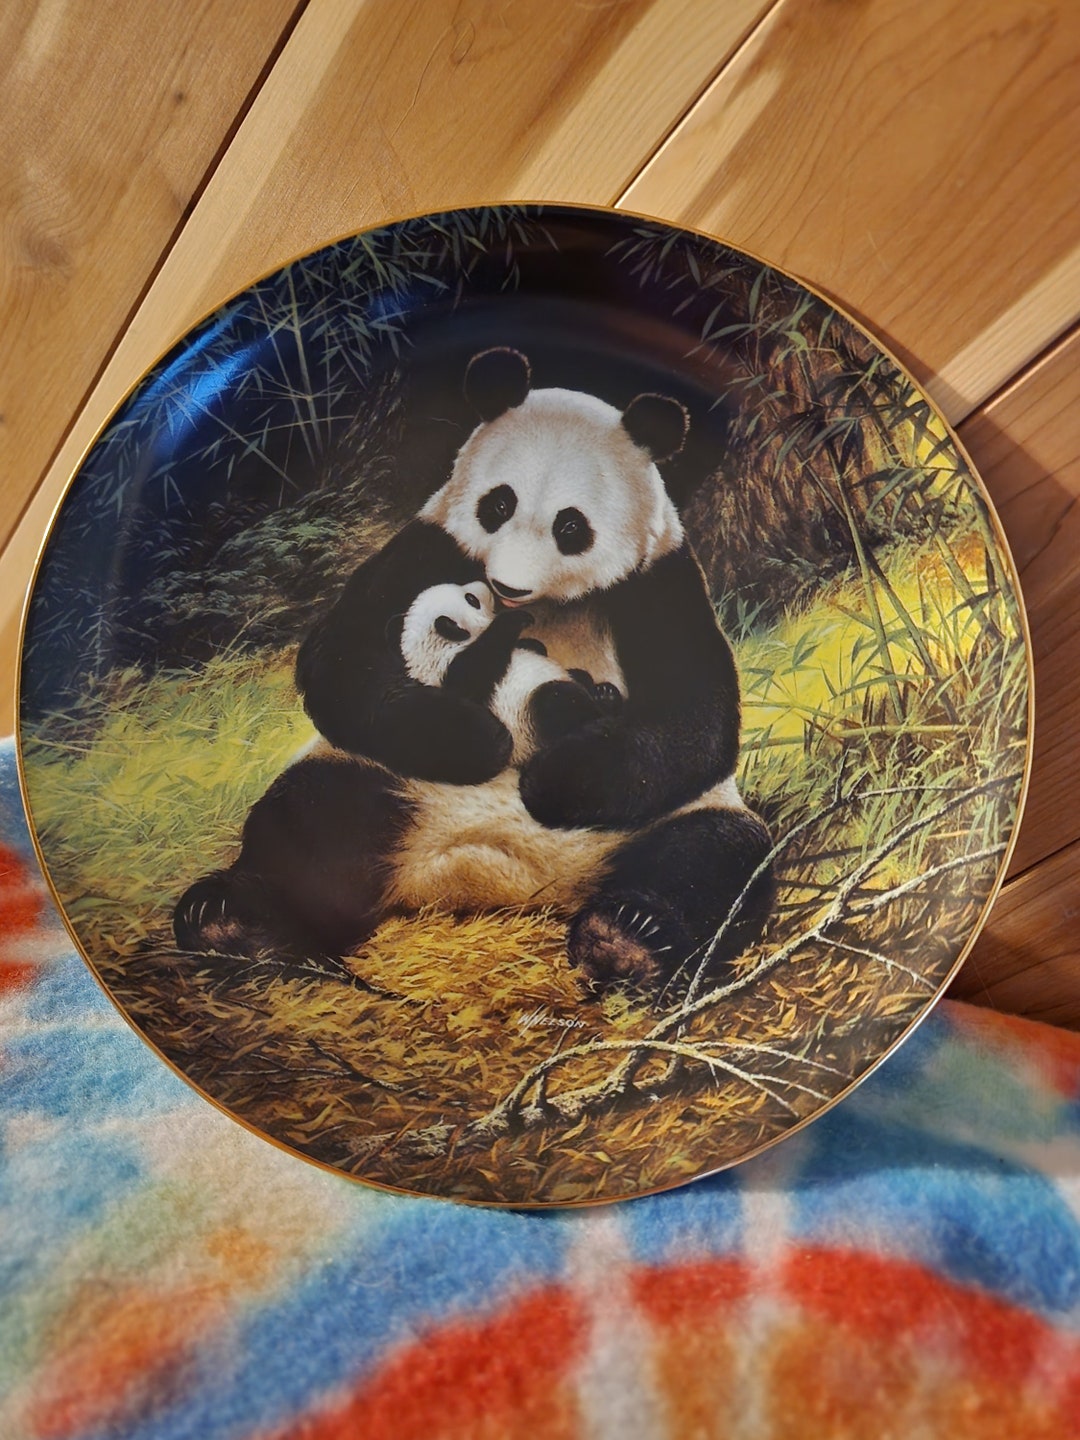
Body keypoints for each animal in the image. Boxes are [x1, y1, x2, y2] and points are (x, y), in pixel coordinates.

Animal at [174, 348, 774, 995]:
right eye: (498, 504)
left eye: (571, 526)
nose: (507, 585)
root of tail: (498, 876)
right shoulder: (429, 545)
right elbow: (343, 662)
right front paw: (478, 740)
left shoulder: (658, 582)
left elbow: (696, 715)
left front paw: (552, 780)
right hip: (381, 783)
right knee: (309, 820)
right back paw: (233, 924)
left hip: (663, 821)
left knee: (715, 858)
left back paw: (628, 939)